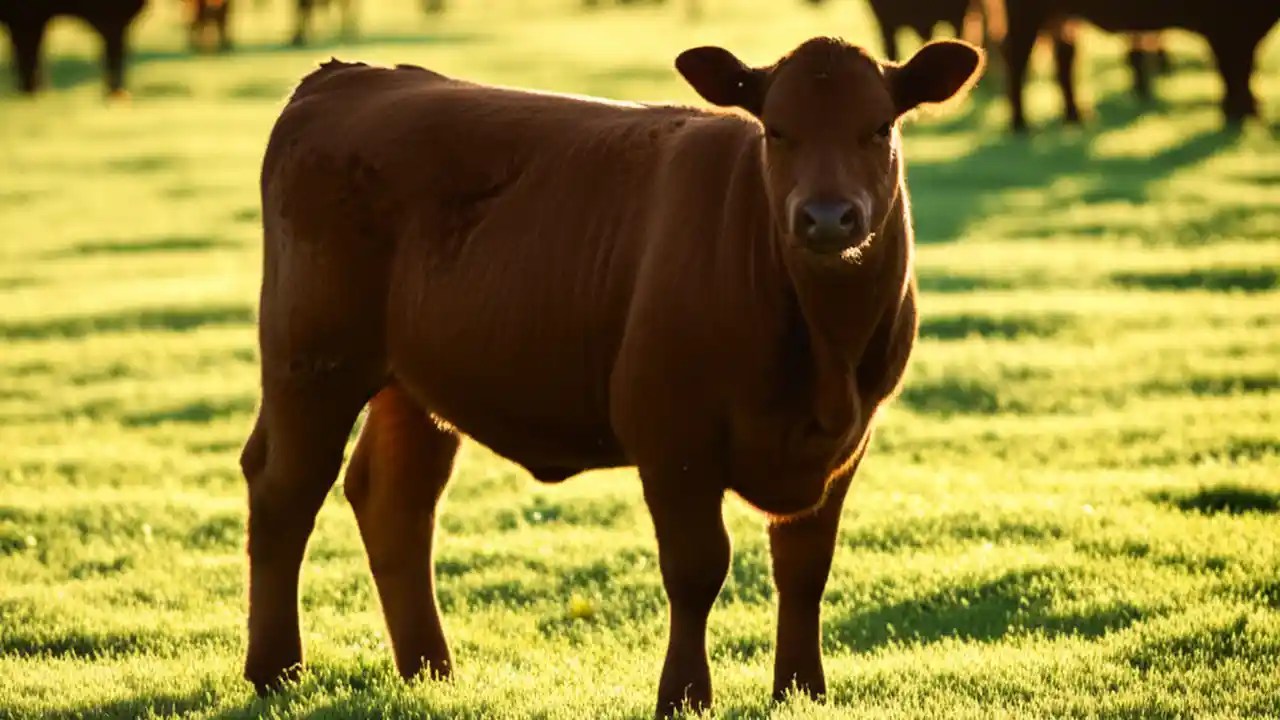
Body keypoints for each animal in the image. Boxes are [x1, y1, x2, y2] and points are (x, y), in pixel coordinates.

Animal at [242, 37, 983, 716]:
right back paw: (275, 671)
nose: (827, 217)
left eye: (879, 126)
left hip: (413, 380)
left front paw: (802, 689)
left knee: (395, 499)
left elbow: (805, 568)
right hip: (311, 359)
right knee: (285, 489)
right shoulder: (672, 436)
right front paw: (683, 695)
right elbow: (696, 569)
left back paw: (430, 672)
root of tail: (349, 76)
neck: (824, 351)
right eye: (776, 129)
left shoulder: (844, 445)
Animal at [1001, 0, 1280, 131]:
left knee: (1065, 58)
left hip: (1063, 18)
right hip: (1028, 12)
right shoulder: (1224, 29)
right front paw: (1241, 115)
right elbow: (1234, 71)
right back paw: (1020, 126)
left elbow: (1244, 69)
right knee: (1016, 56)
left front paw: (1250, 113)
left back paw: (1078, 117)